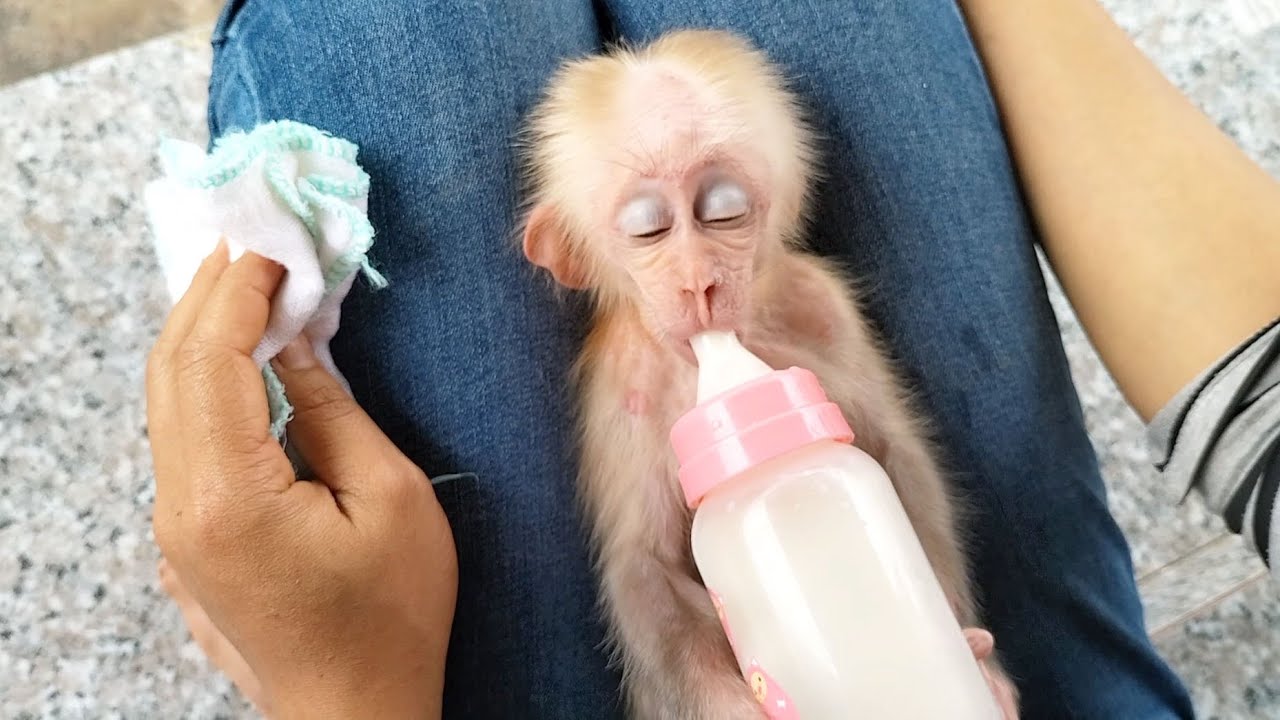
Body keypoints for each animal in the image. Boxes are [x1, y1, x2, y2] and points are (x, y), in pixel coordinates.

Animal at [520, 29, 1018, 718]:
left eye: (722, 214)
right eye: (649, 230)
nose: (698, 284)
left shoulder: (823, 305)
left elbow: (892, 452)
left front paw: (978, 664)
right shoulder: (621, 384)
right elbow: (645, 567)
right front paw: (735, 704)